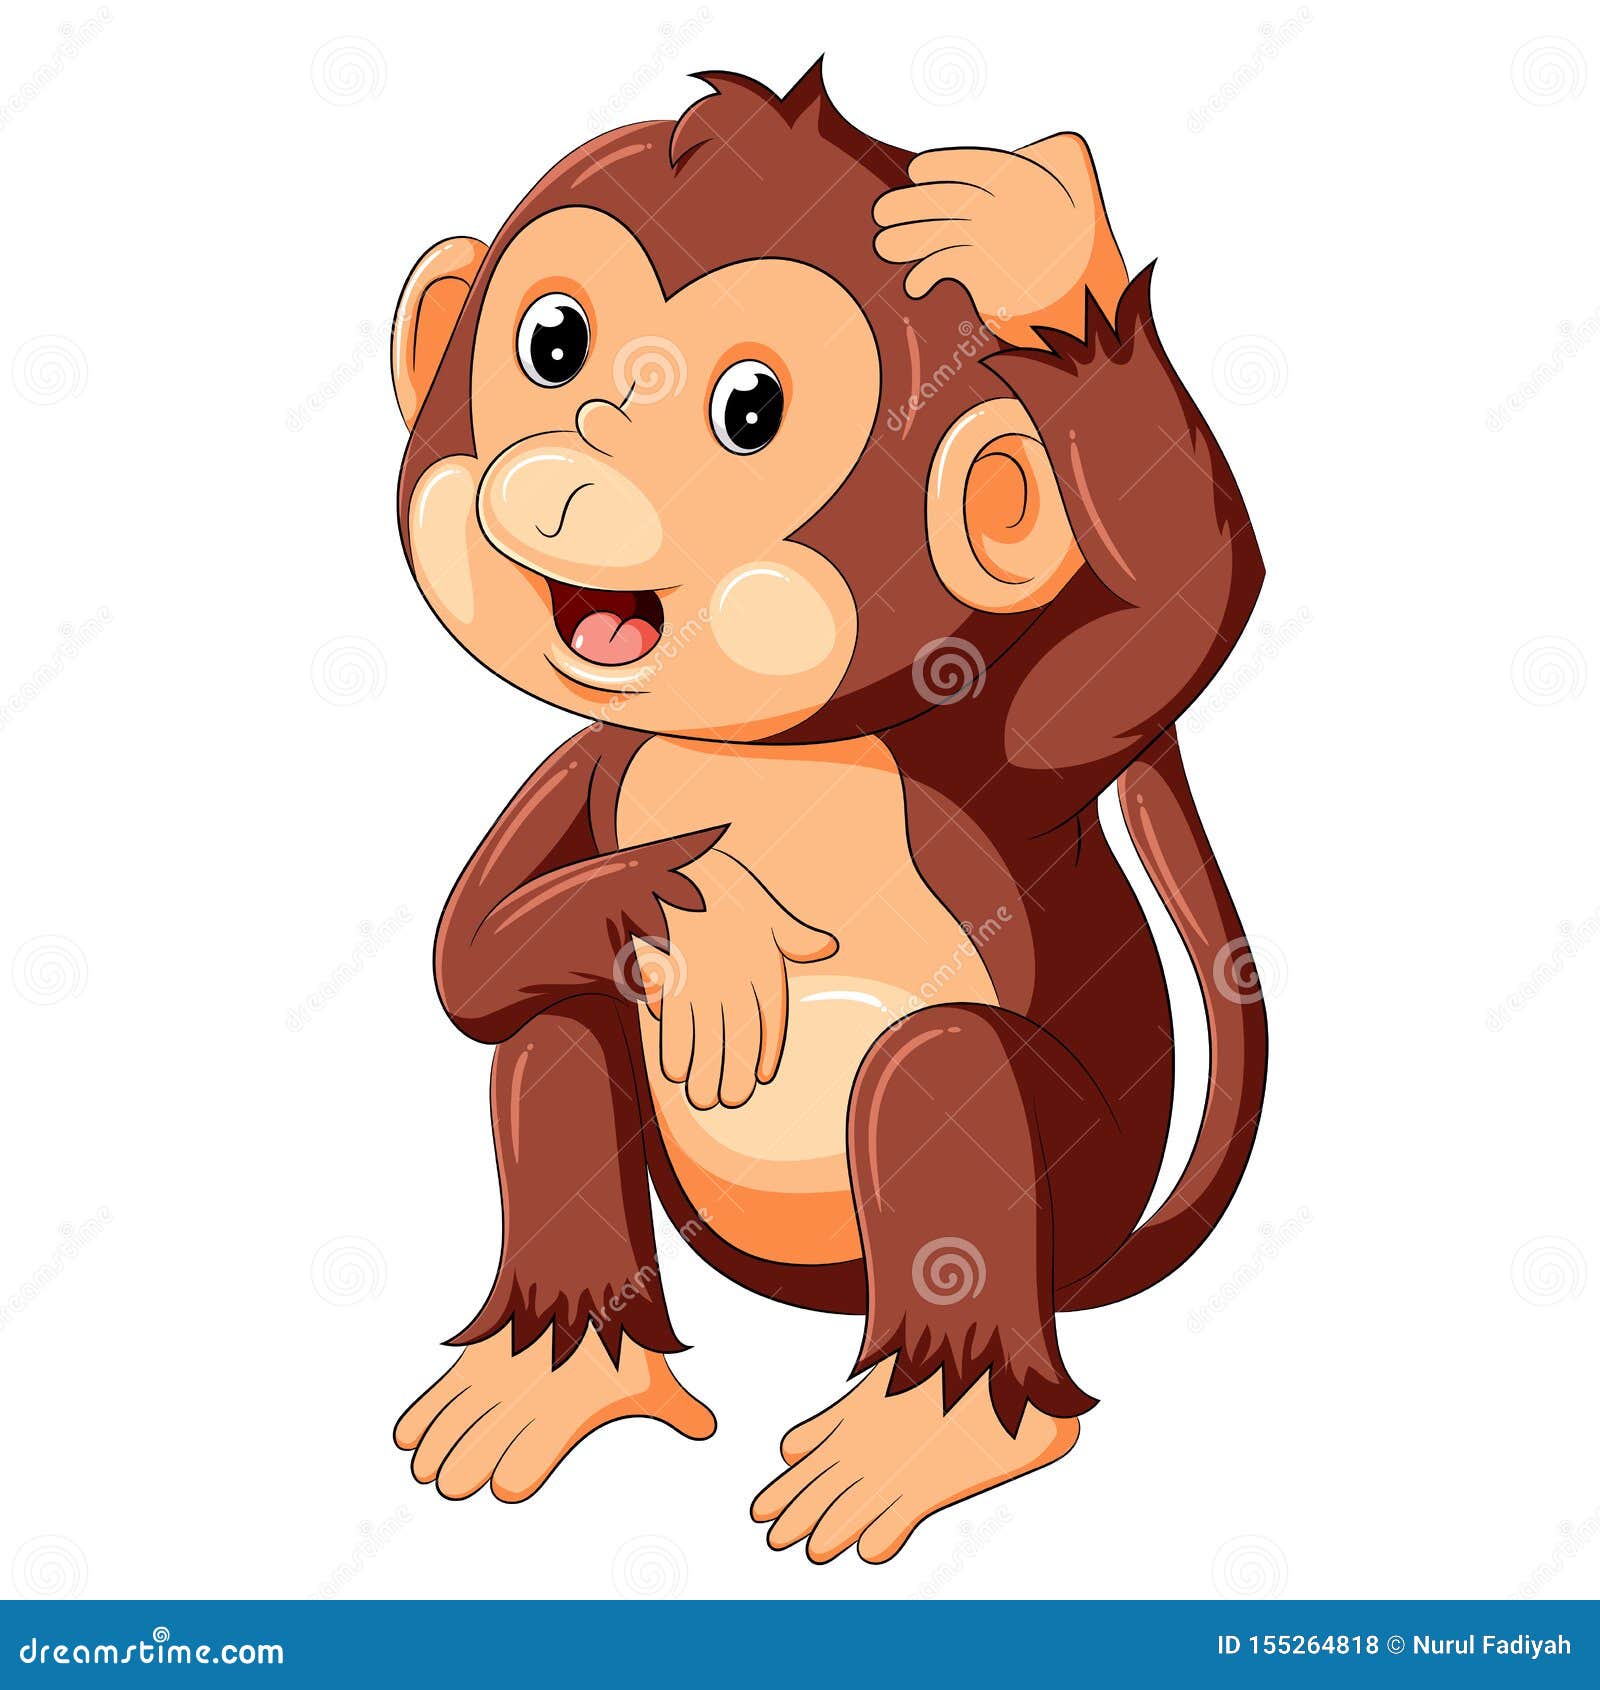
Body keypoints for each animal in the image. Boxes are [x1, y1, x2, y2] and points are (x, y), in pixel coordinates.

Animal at [388, 64, 1266, 1566]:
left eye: (752, 410)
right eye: (554, 342)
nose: (577, 456)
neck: (765, 750)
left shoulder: (1019, 740)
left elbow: (1191, 597)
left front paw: (1033, 254)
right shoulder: (594, 763)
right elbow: (471, 956)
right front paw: (704, 915)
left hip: (1066, 1205)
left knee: (939, 1069)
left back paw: (927, 1426)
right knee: (555, 1029)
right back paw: (556, 1369)